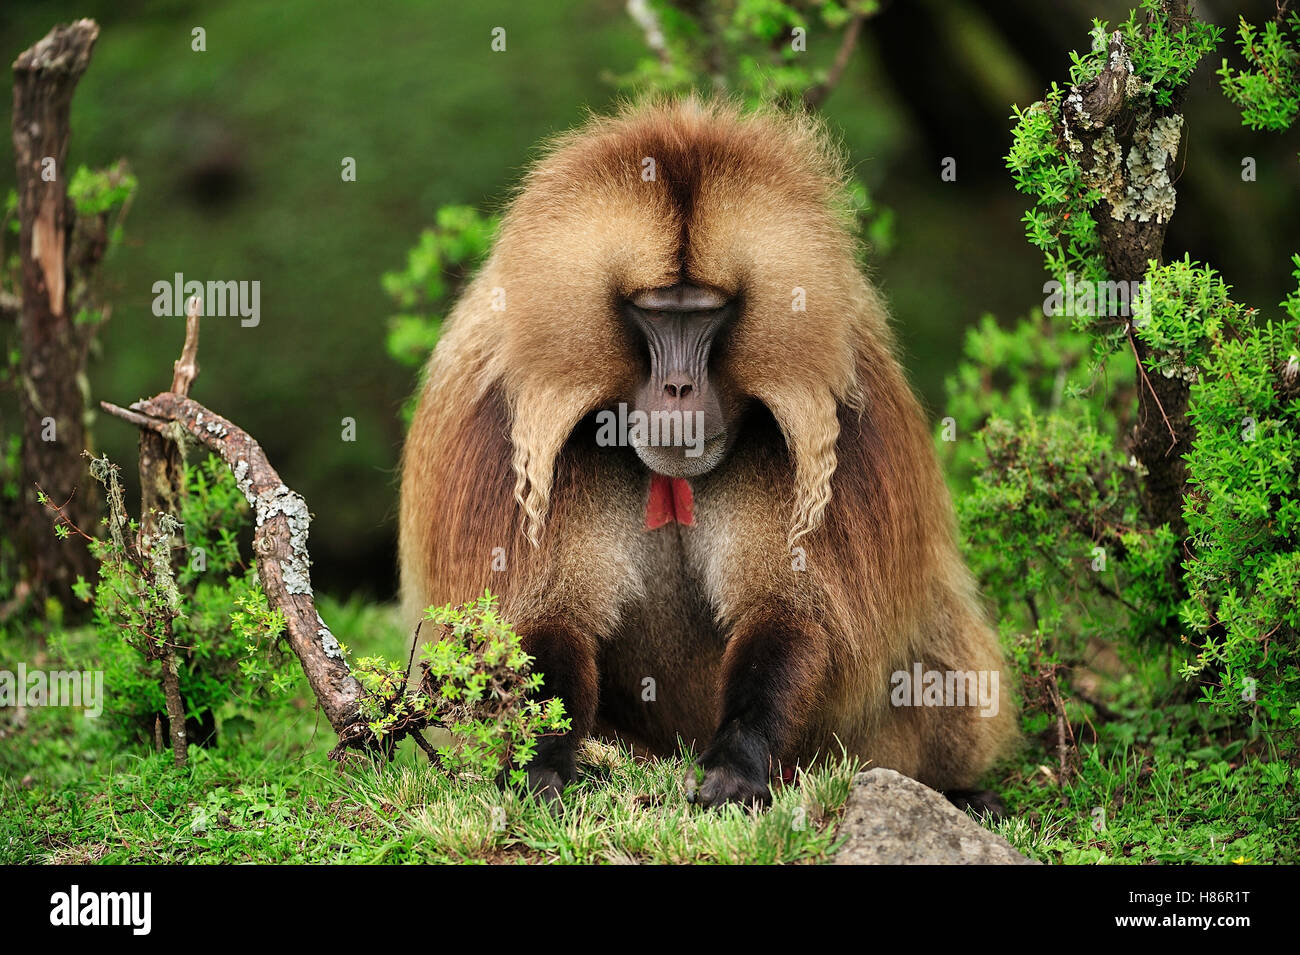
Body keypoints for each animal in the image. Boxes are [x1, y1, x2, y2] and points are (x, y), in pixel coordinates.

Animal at [399, 97, 1017, 810]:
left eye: (704, 314)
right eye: (656, 314)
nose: (678, 389)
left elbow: (790, 614)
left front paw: (735, 763)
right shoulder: (500, 431)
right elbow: (541, 620)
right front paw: (544, 761)